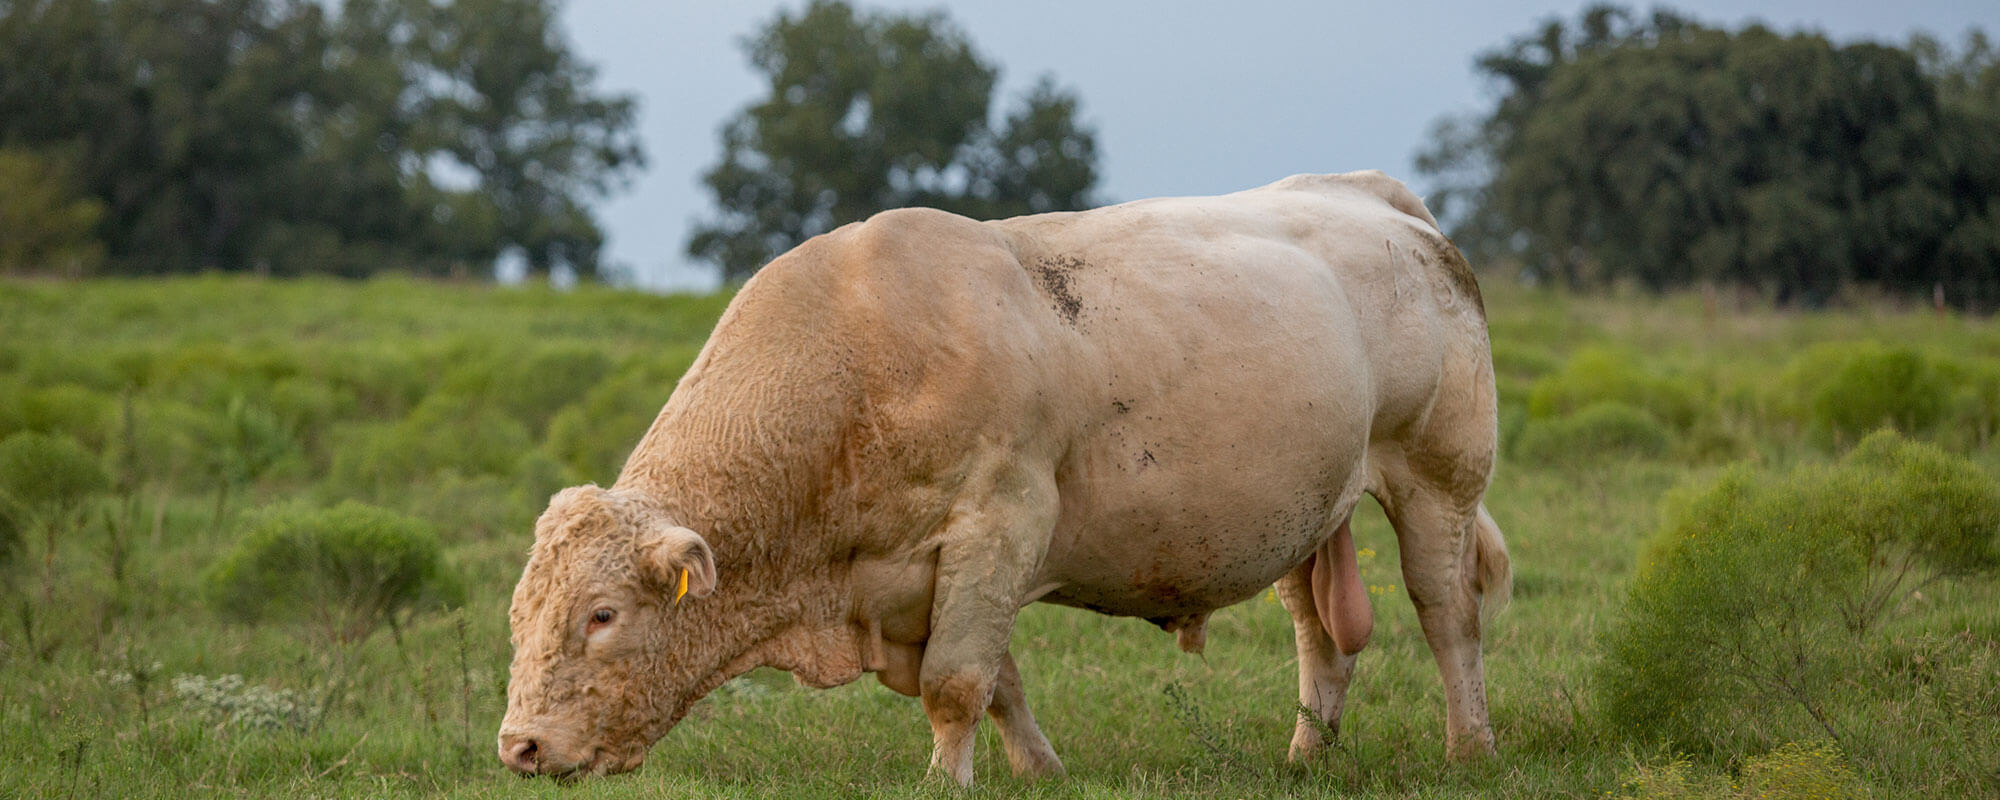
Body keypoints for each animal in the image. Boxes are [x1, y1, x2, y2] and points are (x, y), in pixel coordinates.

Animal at [499, 170, 1511, 787]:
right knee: (1321, 634)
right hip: (1309, 513)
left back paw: (1470, 748)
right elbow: (999, 680)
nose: (520, 744)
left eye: (601, 615)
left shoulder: (1001, 520)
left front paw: (943, 783)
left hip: (1439, 476)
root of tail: (1377, 196)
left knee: (1446, 615)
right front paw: (1040, 773)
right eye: (520, 615)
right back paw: (1306, 757)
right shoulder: (937, 573)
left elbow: (957, 681)